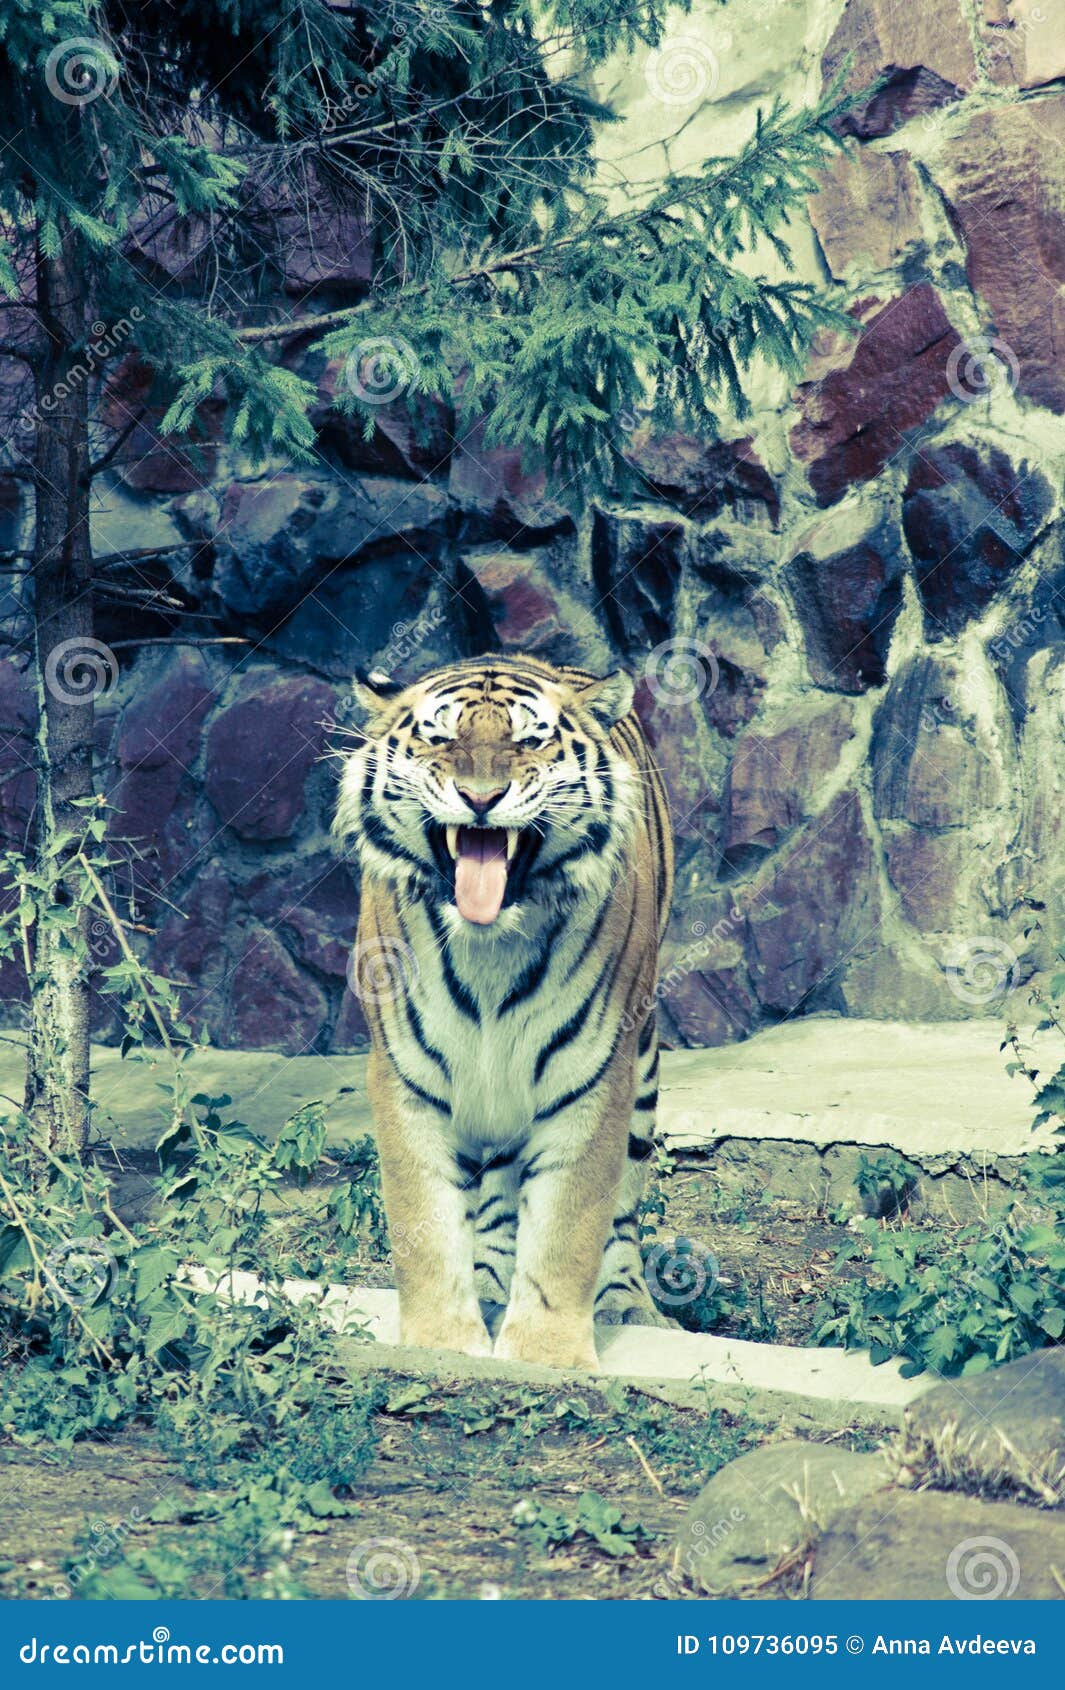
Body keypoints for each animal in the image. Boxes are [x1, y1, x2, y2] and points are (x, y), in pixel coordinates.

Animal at [333, 651, 674, 1370]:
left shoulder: (589, 1077)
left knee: (621, 1211)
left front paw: (546, 1356)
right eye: (439, 738)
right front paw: (442, 1344)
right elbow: (428, 1223)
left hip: (642, 1066)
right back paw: (489, 1281)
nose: (481, 798)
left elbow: (568, 1225)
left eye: (530, 740)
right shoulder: (408, 1077)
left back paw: (625, 1301)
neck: (489, 944)